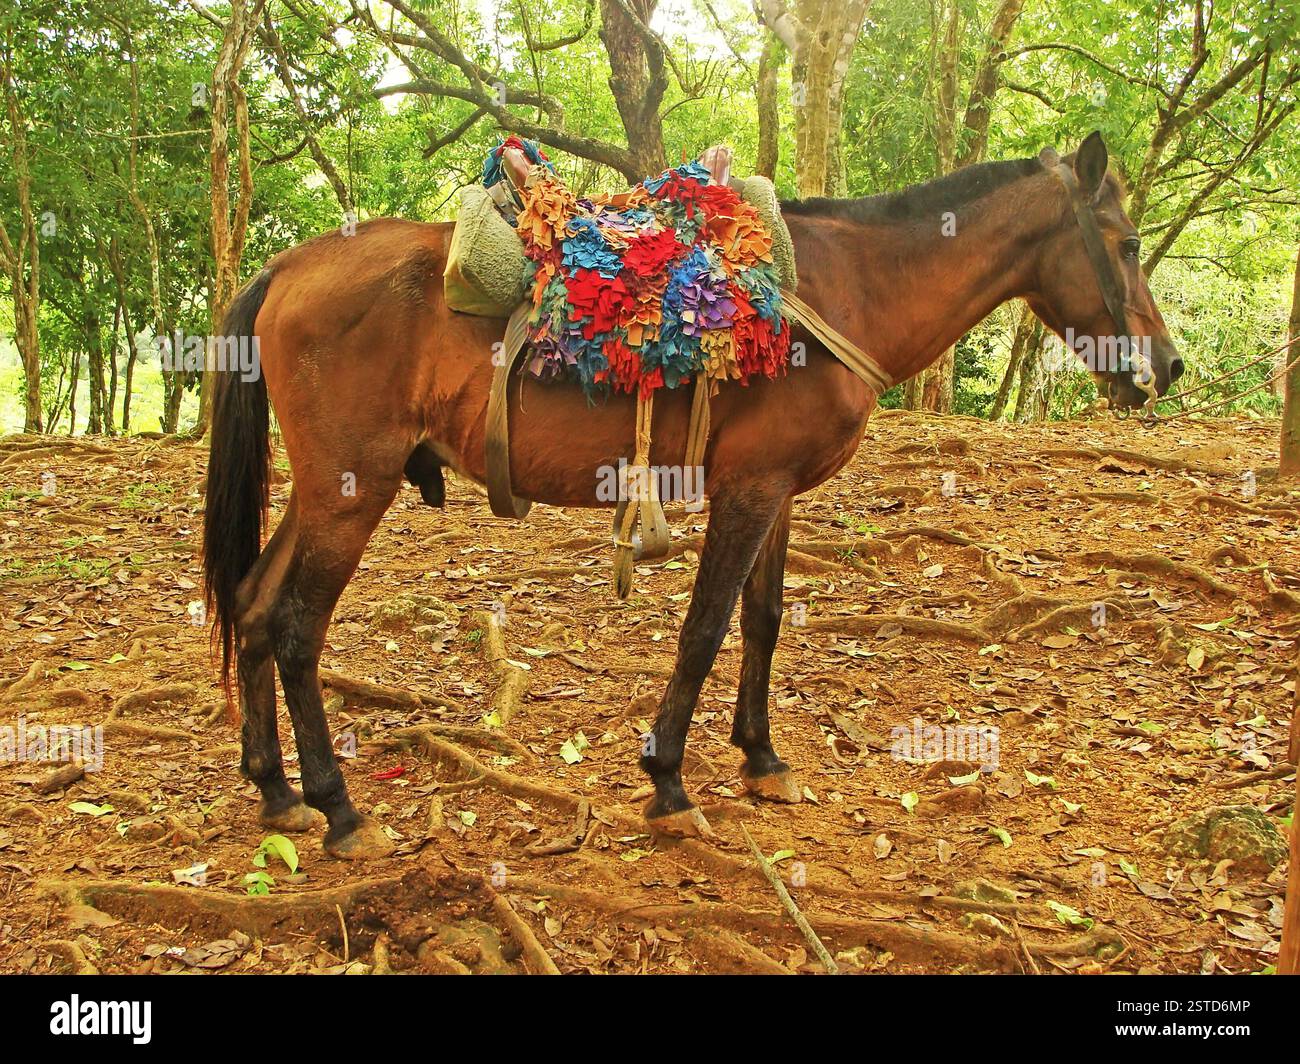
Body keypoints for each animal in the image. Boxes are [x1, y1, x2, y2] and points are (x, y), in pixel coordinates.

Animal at [203, 132, 1182, 858]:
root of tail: (287, 269)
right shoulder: (749, 489)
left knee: (250, 607)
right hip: (351, 491)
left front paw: (762, 757)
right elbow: (706, 626)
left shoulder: (777, 491)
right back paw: (338, 808)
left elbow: (763, 619)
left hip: (324, 491)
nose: (1168, 366)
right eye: (1128, 244)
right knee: (295, 626)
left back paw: (276, 791)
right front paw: (669, 780)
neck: (838, 292)